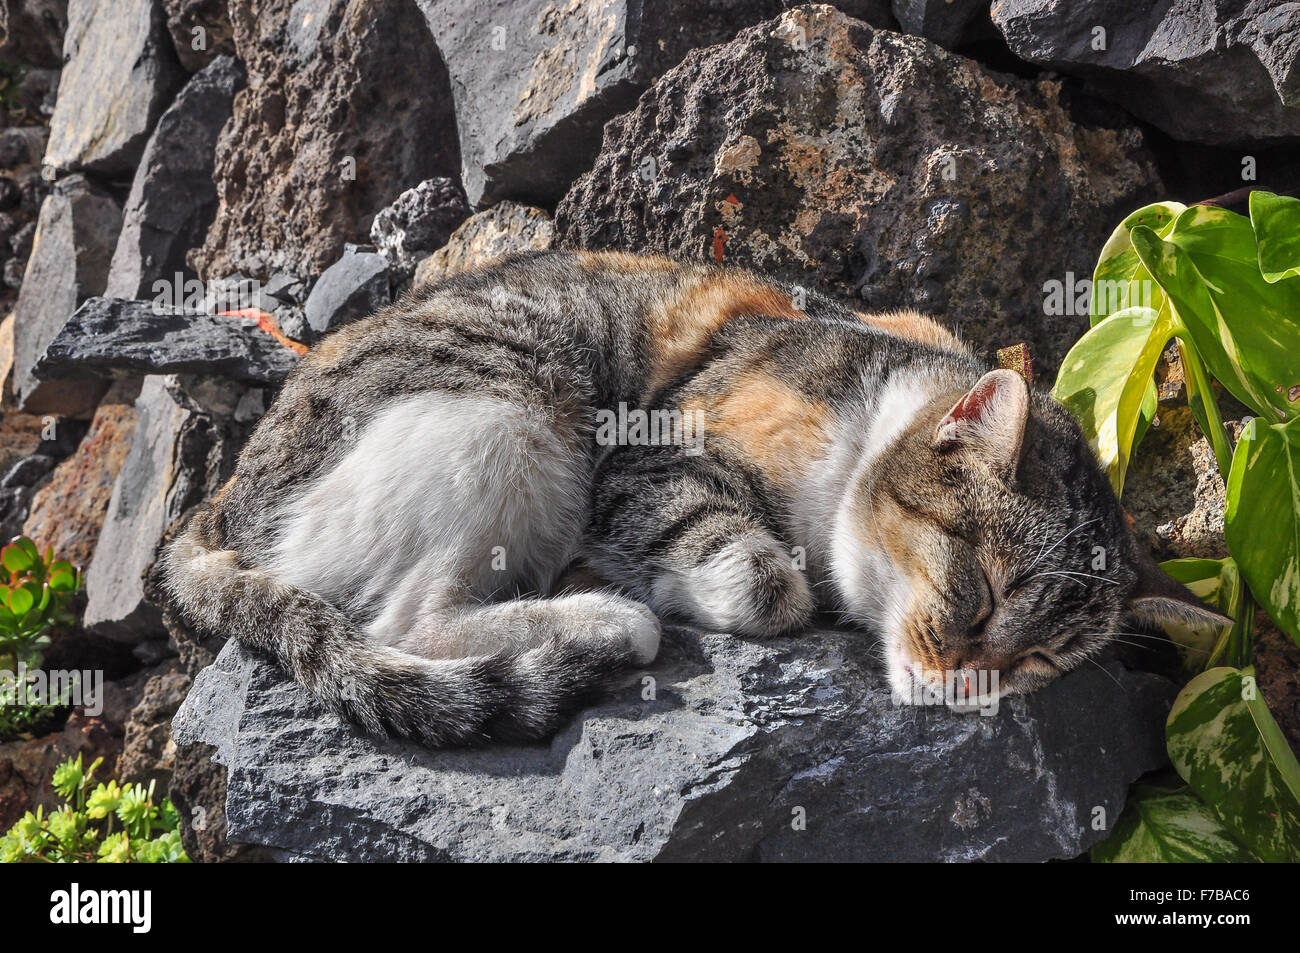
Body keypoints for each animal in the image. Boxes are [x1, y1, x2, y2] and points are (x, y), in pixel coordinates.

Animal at [162, 250, 1227, 743]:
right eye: (984, 591)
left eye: (1042, 658)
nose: (971, 680)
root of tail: (213, 506)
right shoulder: (646, 452)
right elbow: (767, 581)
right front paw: (703, 583)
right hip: (513, 410)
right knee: (403, 619)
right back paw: (606, 619)